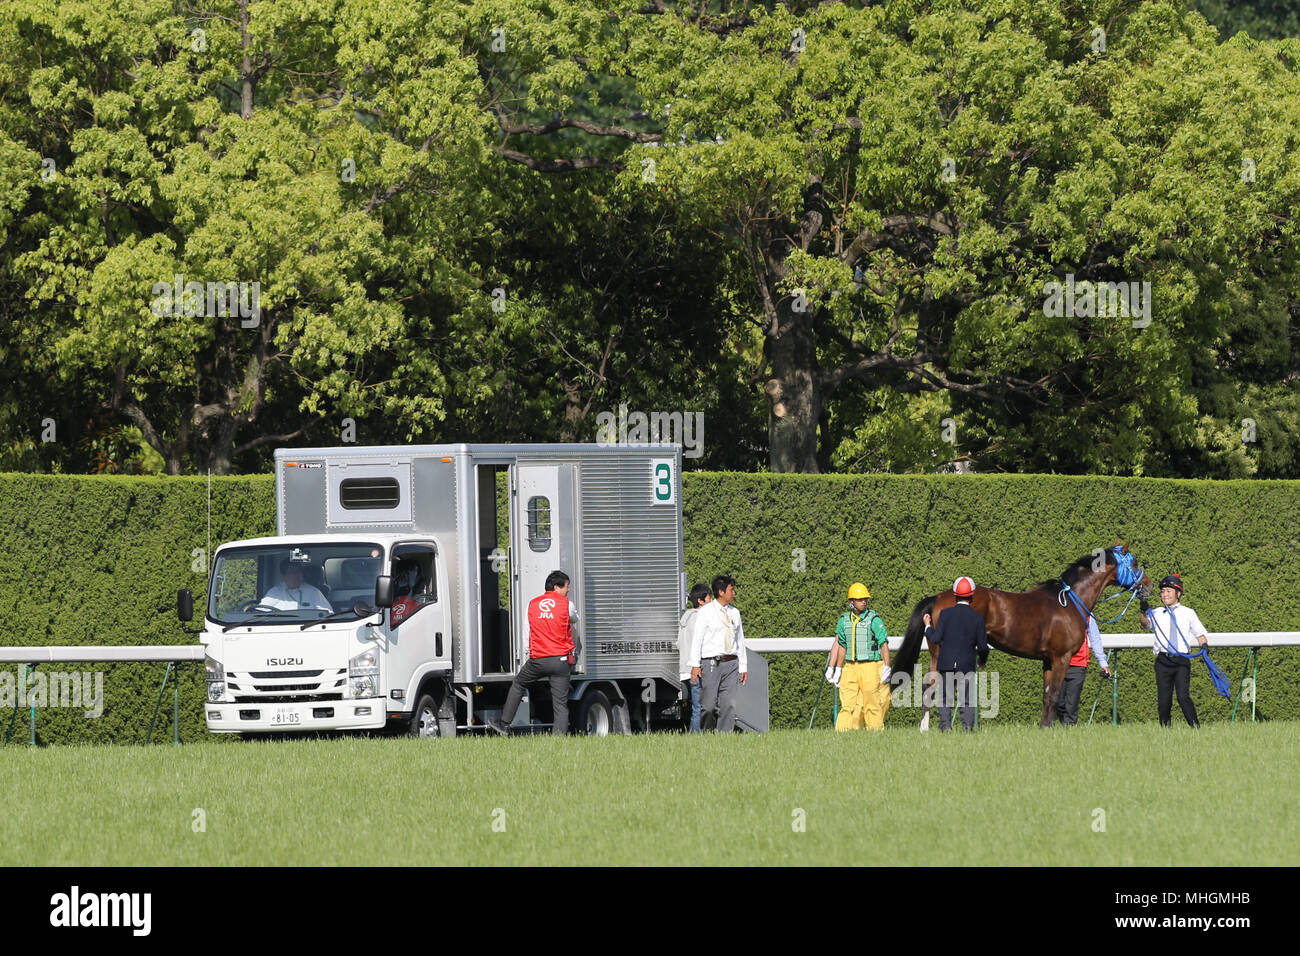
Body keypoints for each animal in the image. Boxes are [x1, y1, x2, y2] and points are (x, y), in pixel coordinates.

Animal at [890, 541, 1154, 728]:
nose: (1149, 584)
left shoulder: (1048, 660)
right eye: (1134, 563)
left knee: (929, 686)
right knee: (936, 688)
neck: (1069, 601)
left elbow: (1047, 695)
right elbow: (1055, 694)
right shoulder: (1062, 657)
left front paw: (1044, 727)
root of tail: (938, 597)